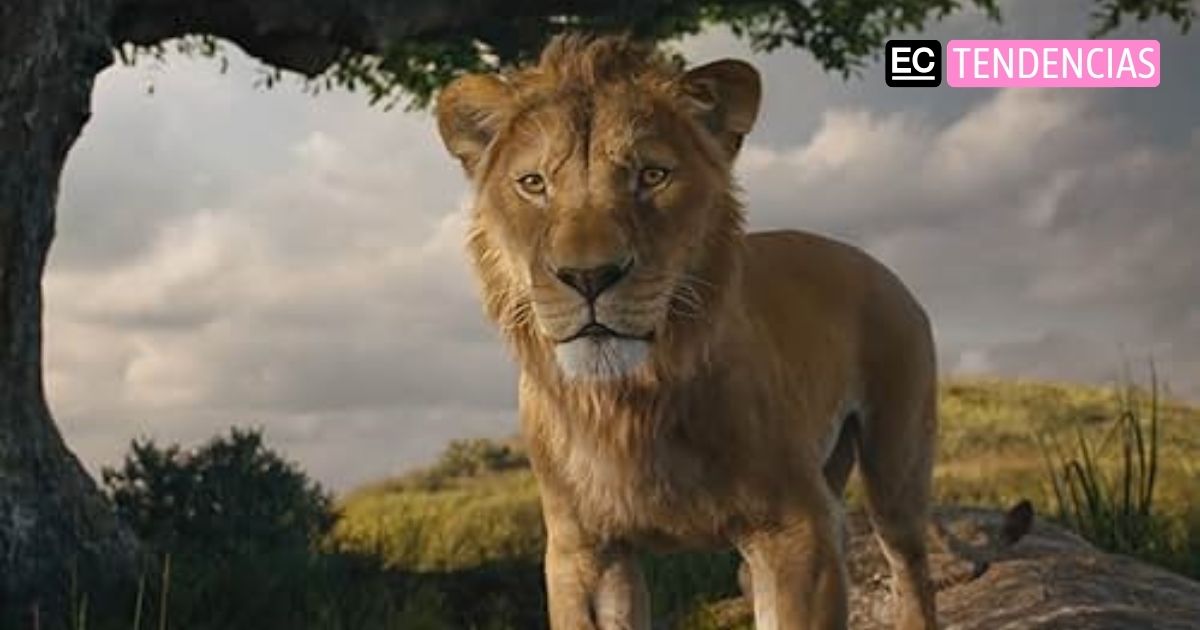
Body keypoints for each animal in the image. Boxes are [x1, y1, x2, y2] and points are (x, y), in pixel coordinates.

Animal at [435, 34, 938, 630]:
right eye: (533, 184)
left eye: (652, 176)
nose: (589, 277)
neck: (628, 405)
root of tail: (873, 264)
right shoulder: (583, 551)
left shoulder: (795, 529)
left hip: (895, 468)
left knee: (910, 568)